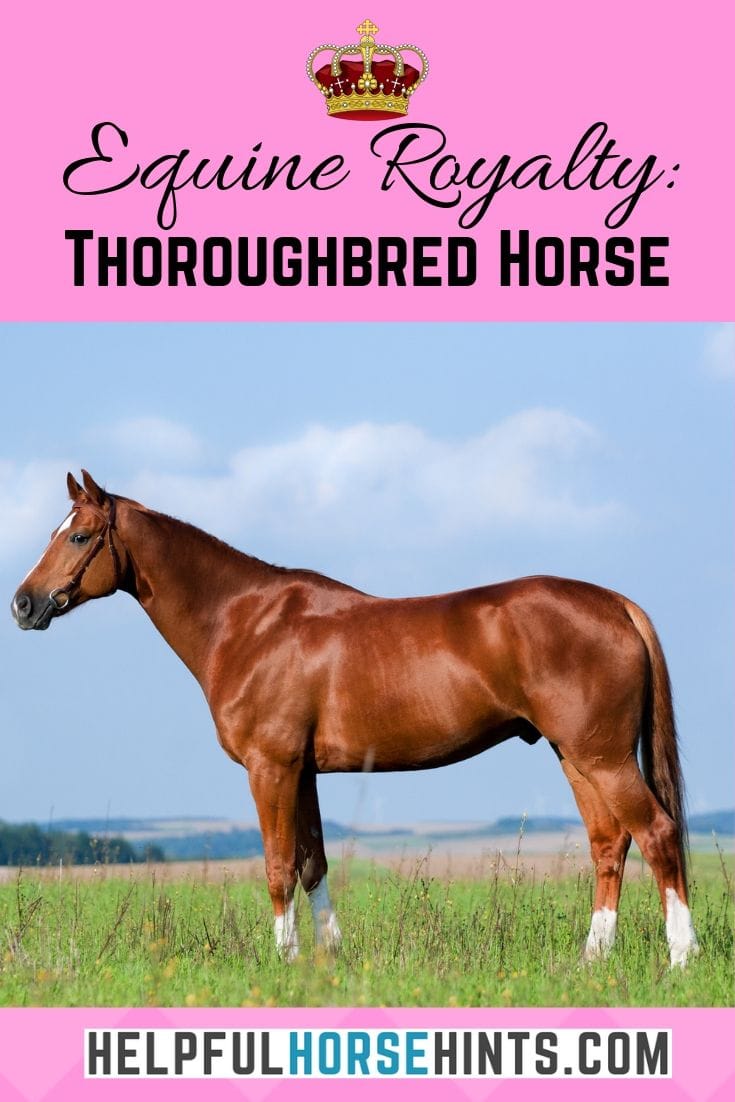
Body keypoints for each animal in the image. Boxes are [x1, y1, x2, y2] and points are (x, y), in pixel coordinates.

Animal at [11, 470, 698, 968]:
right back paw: (592, 959)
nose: (22, 604)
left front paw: (284, 962)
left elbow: (278, 867)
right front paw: (327, 958)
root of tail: (615, 604)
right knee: (609, 844)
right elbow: (312, 863)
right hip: (576, 756)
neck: (246, 622)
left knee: (657, 834)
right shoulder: (304, 772)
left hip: (602, 757)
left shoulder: (270, 767)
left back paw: (681, 958)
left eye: (78, 536)